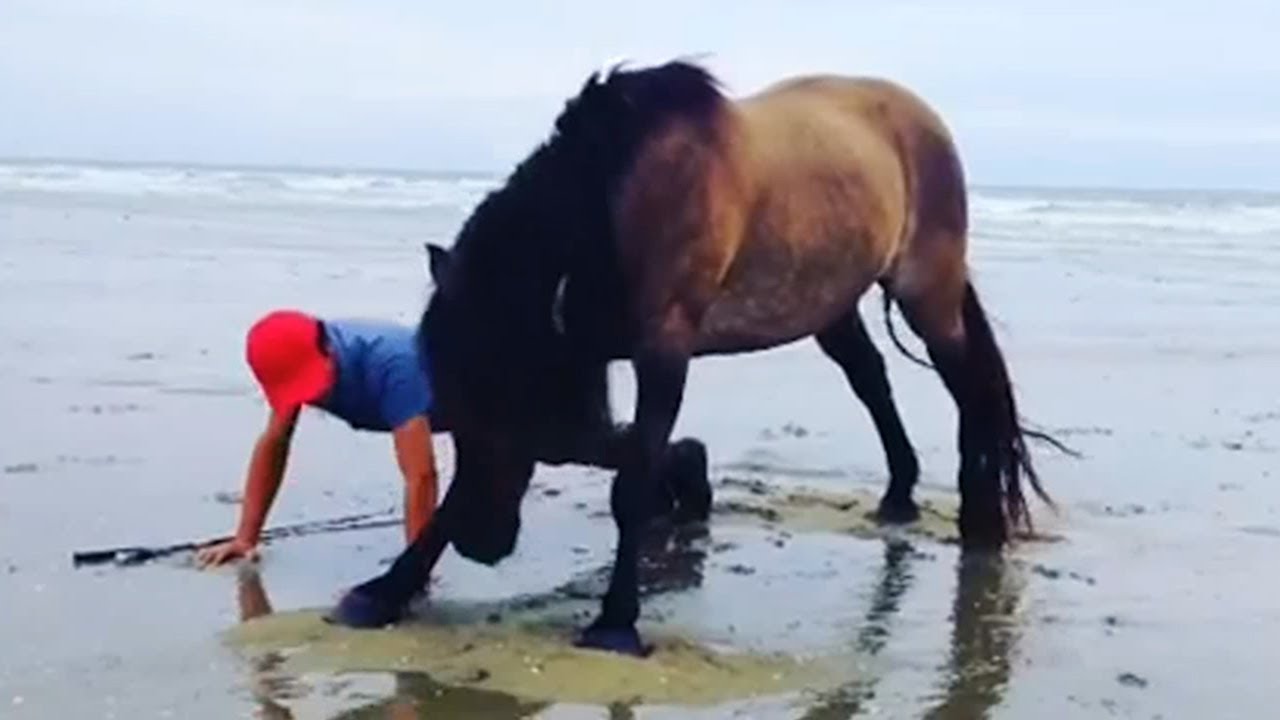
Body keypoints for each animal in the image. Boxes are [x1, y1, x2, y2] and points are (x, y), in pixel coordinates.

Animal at [327, 59, 1055, 656]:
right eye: (454, 402)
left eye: (504, 392)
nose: (481, 544)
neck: (612, 202)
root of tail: (918, 117)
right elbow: (570, 461)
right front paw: (382, 592)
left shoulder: (662, 351)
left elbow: (626, 477)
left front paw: (616, 623)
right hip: (831, 303)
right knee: (871, 380)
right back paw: (900, 494)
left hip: (927, 293)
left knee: (969, 390)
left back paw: (982, 521)